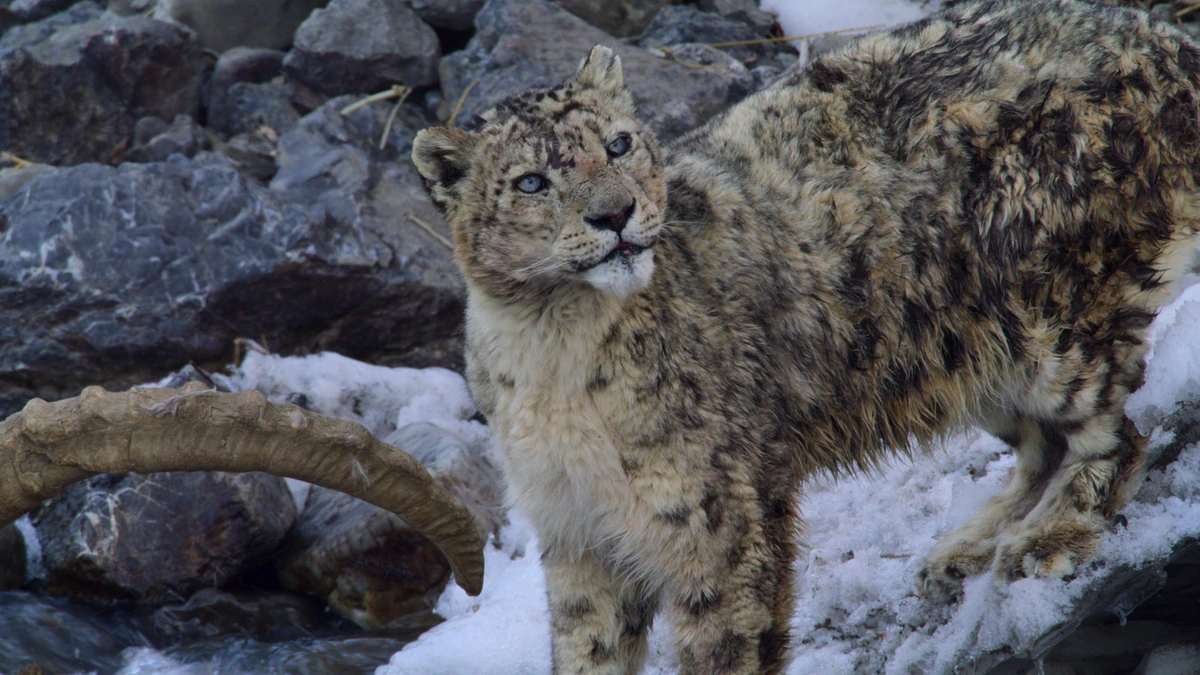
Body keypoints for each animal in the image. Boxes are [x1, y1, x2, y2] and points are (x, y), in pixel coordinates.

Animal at [411, 0, 1200, 672]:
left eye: (619, 142)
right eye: (531, 182)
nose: (615, 212)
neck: (553, 355)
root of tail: (1160, 36)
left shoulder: (716, 513)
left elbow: (727, 642)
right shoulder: (574, 530)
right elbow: (589, 646)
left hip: (1056, 312)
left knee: (1112, 429)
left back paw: (1045, 539)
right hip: (970, 356)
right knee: (1041, 440)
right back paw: (965, 550)